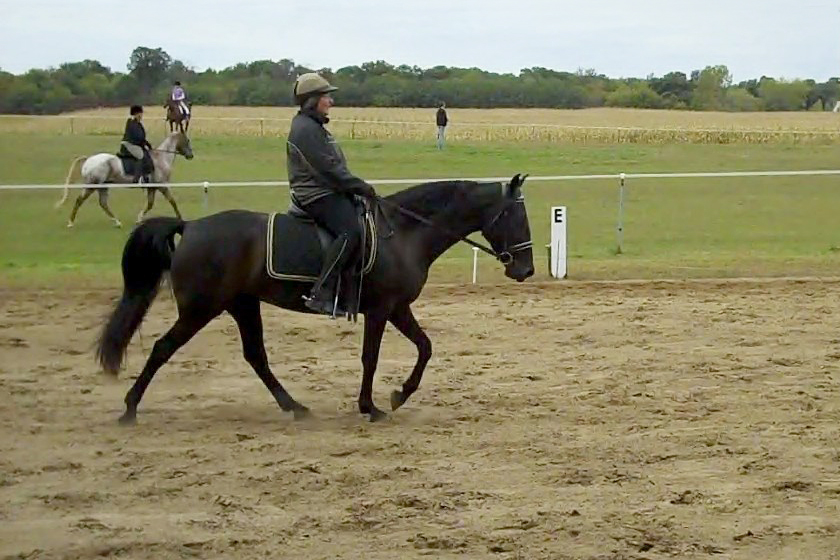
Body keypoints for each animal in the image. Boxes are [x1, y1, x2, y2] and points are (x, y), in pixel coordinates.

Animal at [56, 132, 194, 228]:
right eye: (187, 141)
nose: (190, 155)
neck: (161, 158)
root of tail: (89, 160)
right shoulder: (162, 186)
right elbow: (172, 201)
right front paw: (180, 218)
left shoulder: (152, 187)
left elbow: (150, 204)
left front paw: (139, 219)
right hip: (92, 185)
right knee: (80, 200)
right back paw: (70, 223)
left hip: (103, 186)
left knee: (103, 203)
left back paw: (117, 222)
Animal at [95, 174, 535, 424]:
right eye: (514, 216)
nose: (526, 269)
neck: (404, 233)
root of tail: (192, 226)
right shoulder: (381, 309)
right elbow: (371, 357)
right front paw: (371, 407)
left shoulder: (398, 308)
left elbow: (425, 347)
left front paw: (398, 395)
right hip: (202, 308)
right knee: (162, 347)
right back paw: (129, 408)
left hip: (242, 305)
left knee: (256, 356)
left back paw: (294, 407)